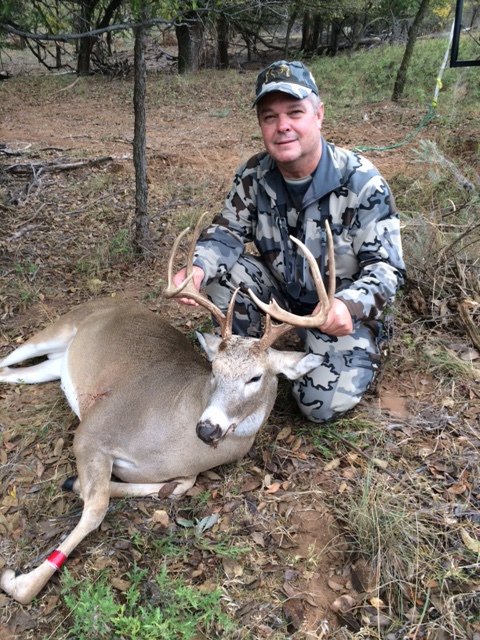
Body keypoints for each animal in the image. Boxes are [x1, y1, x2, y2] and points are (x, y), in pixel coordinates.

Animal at [0, 215, 335, 605]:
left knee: (10, 374)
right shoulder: (93, 429)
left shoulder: (174, 470)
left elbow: (174, 488)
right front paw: (17, 582)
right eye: (214, 369)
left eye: (255, 377)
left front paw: (77, 483)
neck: (172, 434)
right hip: (58, 327)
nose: (207, 428)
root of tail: (111, 300)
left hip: (53, 366)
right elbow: (96, 508)